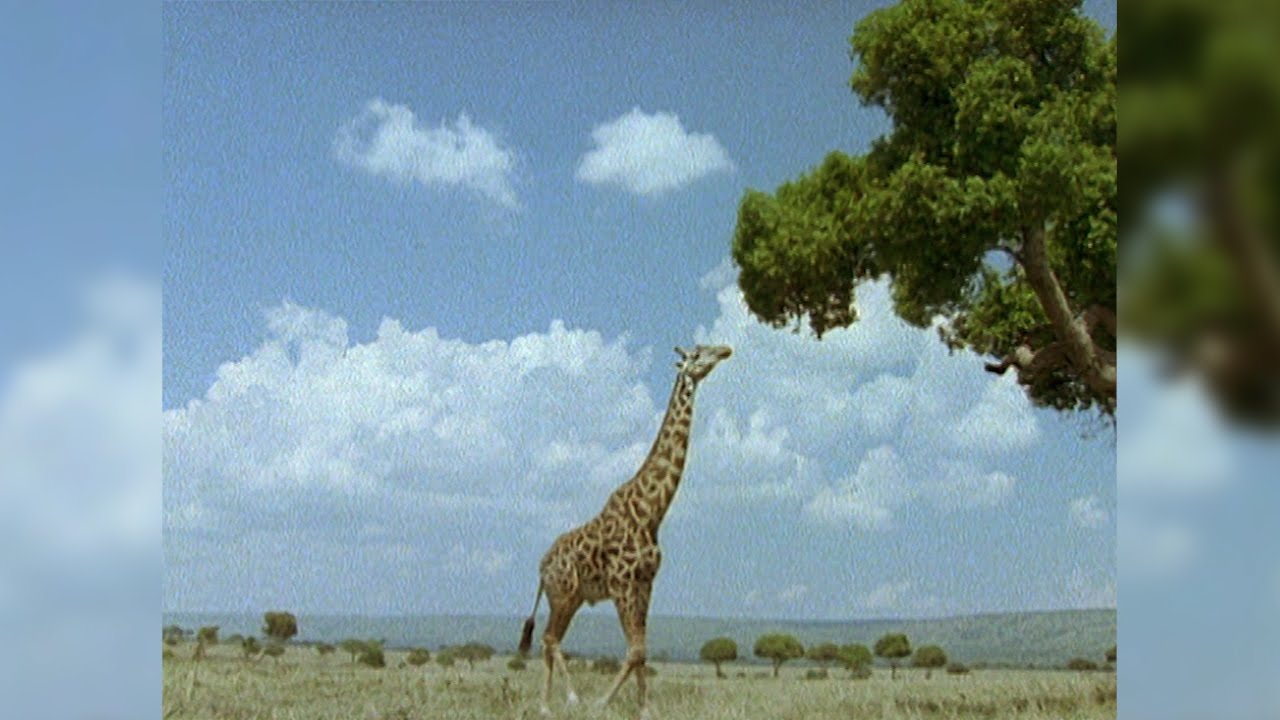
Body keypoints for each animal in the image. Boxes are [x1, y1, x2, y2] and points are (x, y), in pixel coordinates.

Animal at [518, 344, 732, 718]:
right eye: (697, 353)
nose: (725, 349)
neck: (651, 512)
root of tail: (541, 567)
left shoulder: (645, 583)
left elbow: (642, 650)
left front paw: (645, 709)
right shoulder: (622, 584)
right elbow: (634, 651)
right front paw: (601, 703)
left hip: (573, 597)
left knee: (550, 639)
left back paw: (547, 704)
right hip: (563, 593)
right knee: (549, 639)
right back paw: (566, 700)